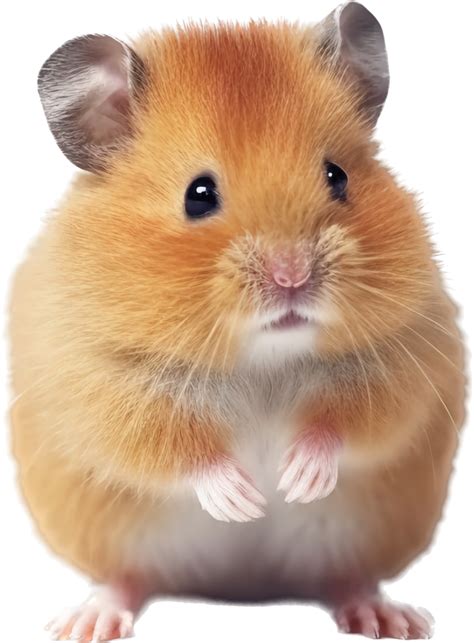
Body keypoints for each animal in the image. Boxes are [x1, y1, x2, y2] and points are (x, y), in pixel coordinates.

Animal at [9, 2, 466, 640]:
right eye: (198, 195)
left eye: (337, 176)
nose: (292, 276)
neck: (263, 360)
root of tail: (243, 590)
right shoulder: (104, 385)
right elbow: (180, 449)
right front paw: (244, 500)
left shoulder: (403, 356)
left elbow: (345, 422)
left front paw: (295, 481)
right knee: (127, 578)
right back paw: (87, 622)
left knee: (346, 578)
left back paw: (388, 618)